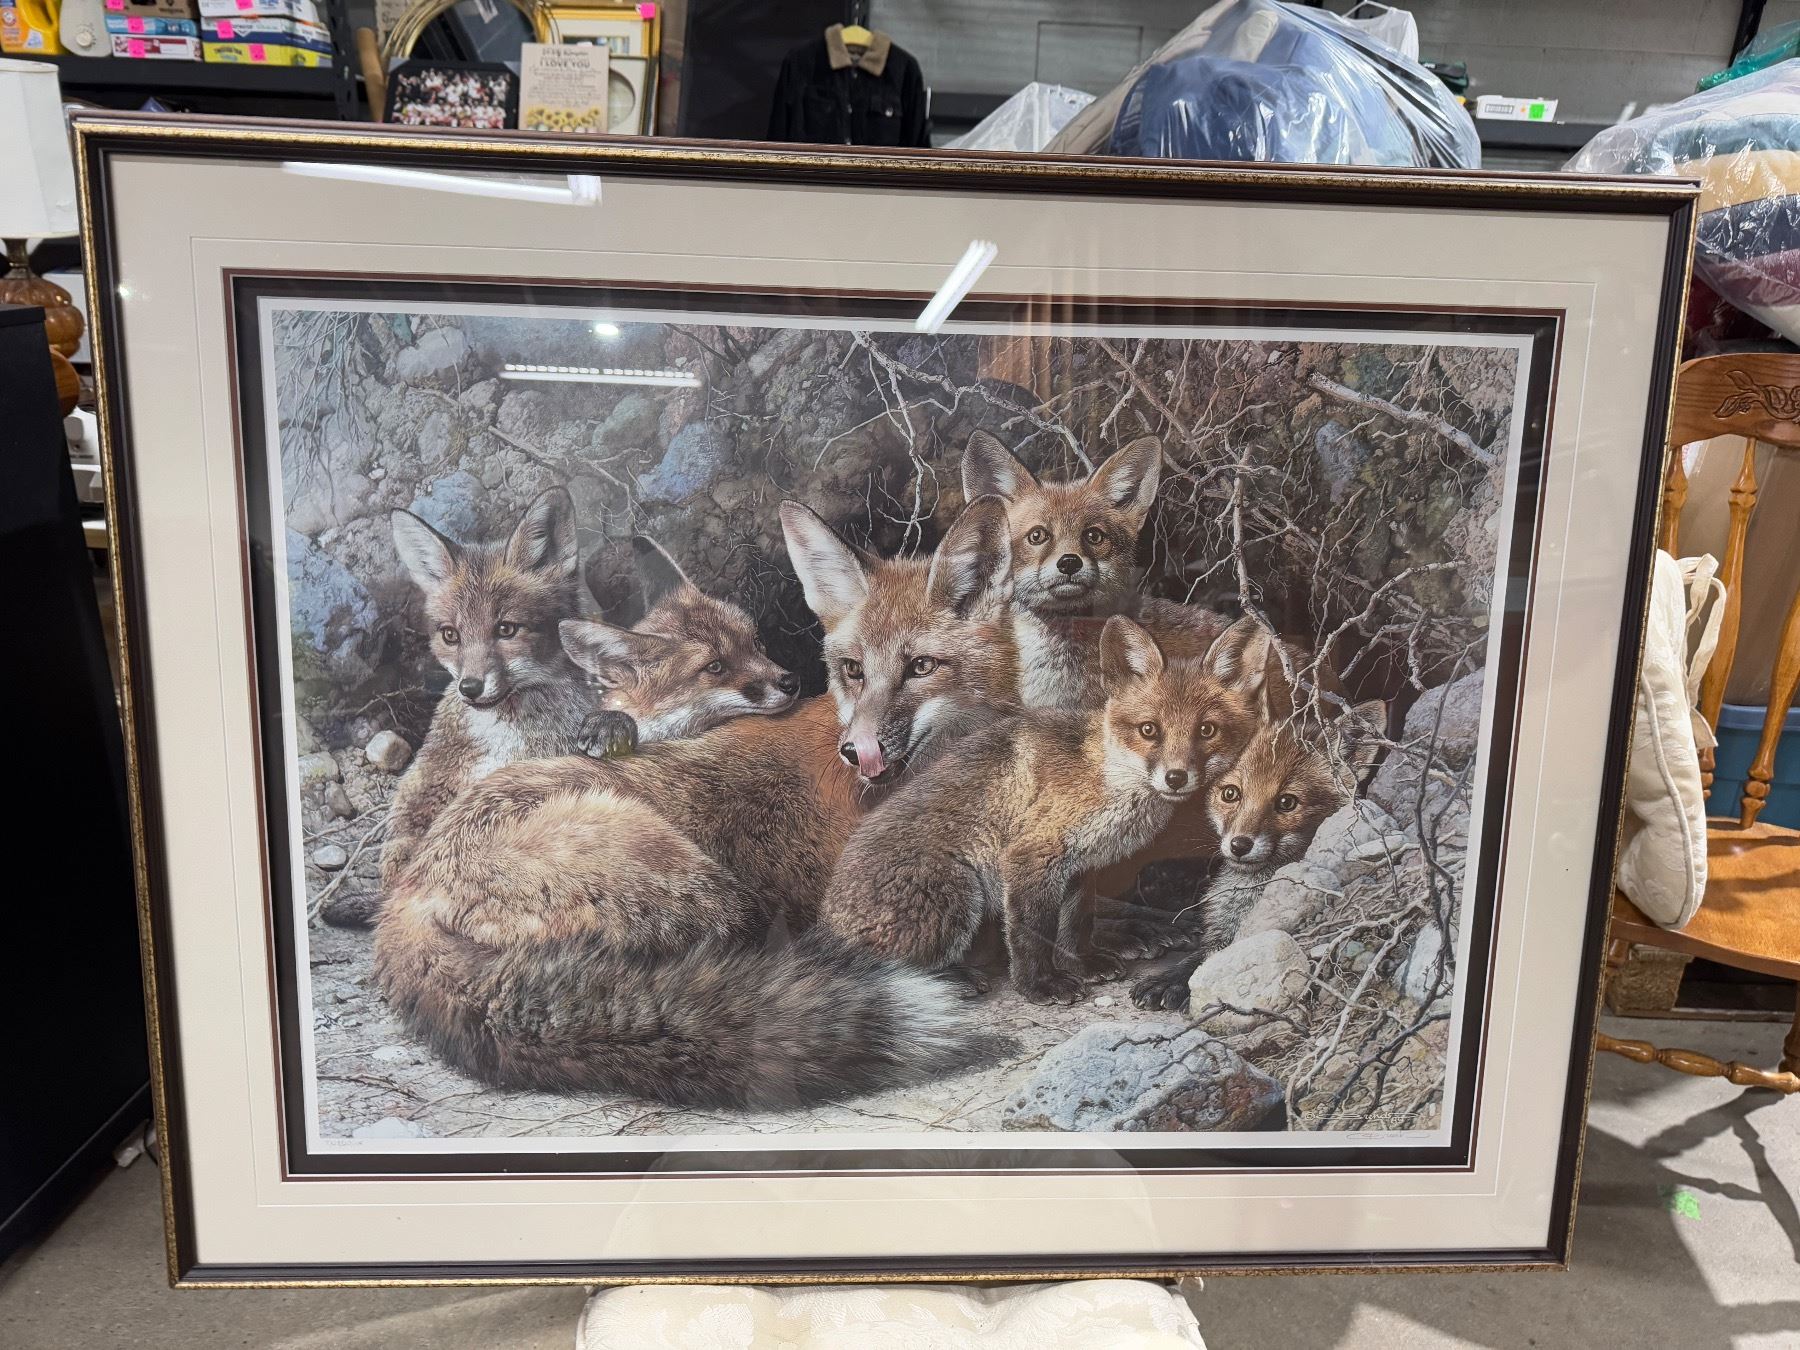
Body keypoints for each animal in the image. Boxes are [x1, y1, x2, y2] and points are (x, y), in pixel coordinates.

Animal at [819, 615, 1261, 1004]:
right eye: (1149, 730)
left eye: (1207, 730)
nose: (1176, 777)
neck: (1103, 778)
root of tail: (823, 919)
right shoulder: (1031, 856)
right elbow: (1032, 934)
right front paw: (1039, 986)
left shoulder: (1080, 866)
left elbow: (1075, 925)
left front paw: (1082, 963)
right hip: (958, 895)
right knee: (881, 970)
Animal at [1131, 700, 1387, 1012]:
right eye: (1231, 793)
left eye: (1287, 802)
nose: (1239, 845)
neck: (1250, 892)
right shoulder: (1220, 933)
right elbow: (1198, 957)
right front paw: (1168, 978)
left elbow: (1207, 965)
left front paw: (1174, 986)